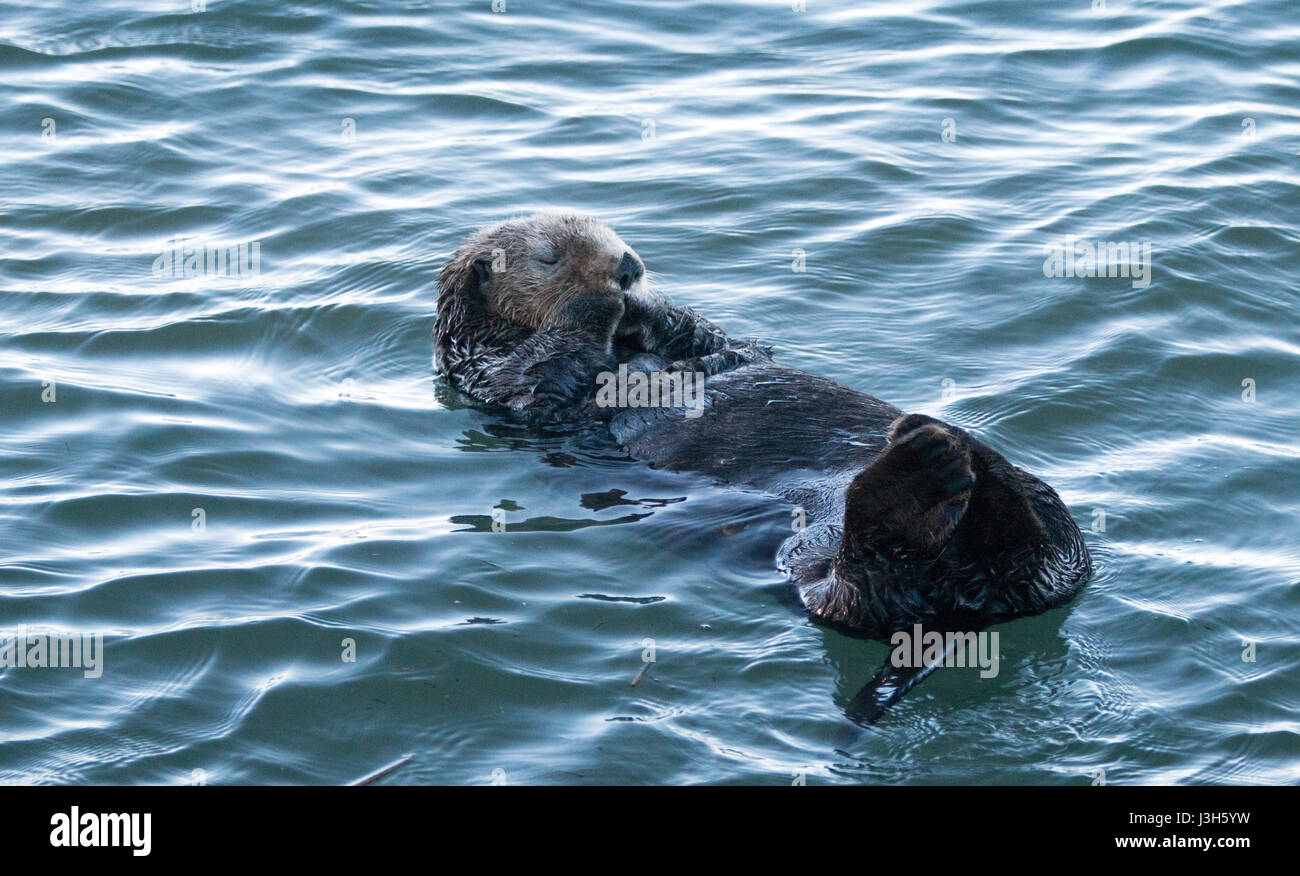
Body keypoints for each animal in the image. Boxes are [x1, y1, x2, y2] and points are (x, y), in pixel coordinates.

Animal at [435, 213, 1092, 722]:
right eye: (549, 258)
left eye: (614, 234)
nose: (627, 267)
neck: (624, 351)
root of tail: (969, 609)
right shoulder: (494, 379)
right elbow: (542, 374)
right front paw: (596, 301)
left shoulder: (713, 347)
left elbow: (718, 342)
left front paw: (651, 307)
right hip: (817, 559)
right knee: (855, 596)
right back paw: (924, 473)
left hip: (1058, 541)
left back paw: (967, 459)